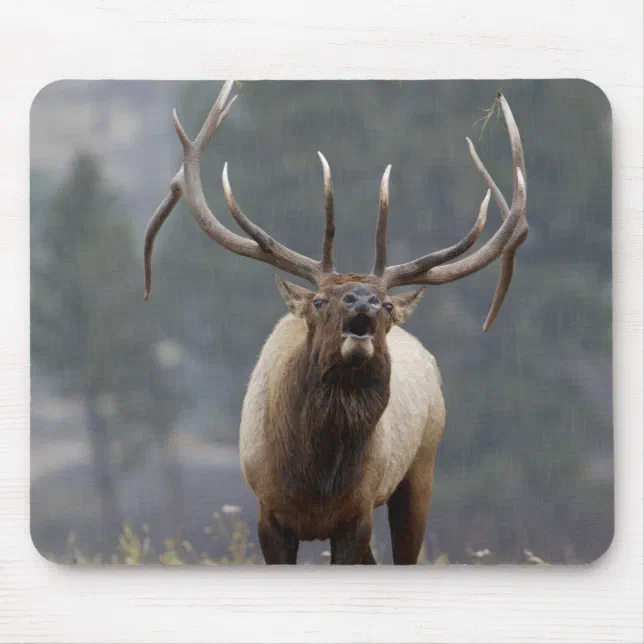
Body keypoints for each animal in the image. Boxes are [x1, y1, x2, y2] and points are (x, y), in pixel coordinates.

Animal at [143, 81, 528, 565]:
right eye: (320, 301)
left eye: (387, 305)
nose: (362, 299)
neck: (317, 482)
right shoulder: (268, 512)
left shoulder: (357, 514)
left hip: (422, 467)